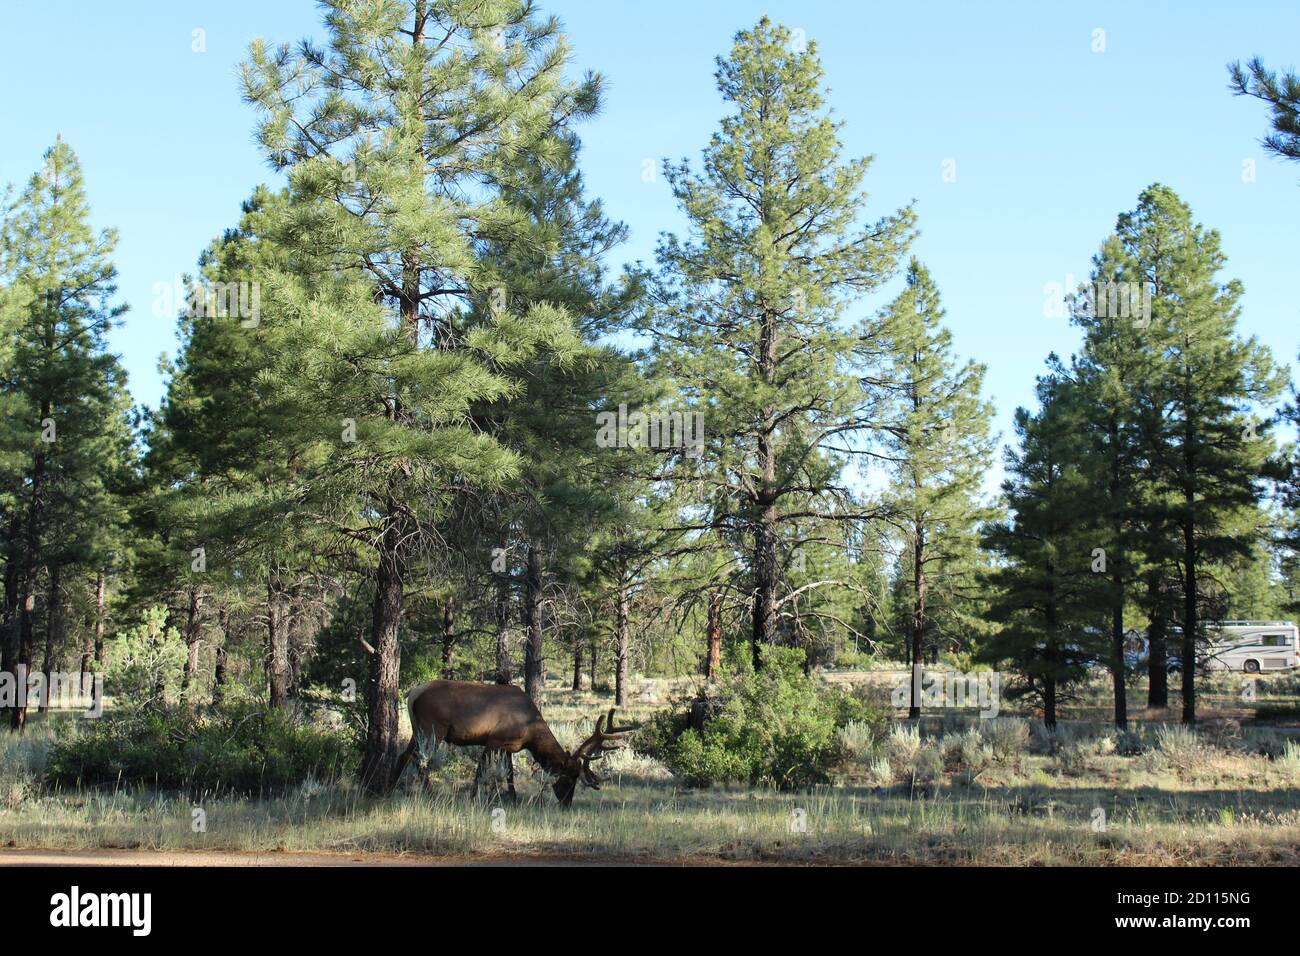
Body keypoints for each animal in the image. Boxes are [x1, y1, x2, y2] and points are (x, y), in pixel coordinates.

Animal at [394, 679, 640, 805]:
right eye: (570, 778)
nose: (566, 804)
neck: (530, 732)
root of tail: (412, 693)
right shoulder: (493, 740)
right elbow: (480, 771)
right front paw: (472, 798)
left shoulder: (509, 747)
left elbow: (510, 775)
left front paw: (513, 799)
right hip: (433, 728)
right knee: (421, 759)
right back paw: (429, 792)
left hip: (419, 729)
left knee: (405, 755)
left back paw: (389, 787)